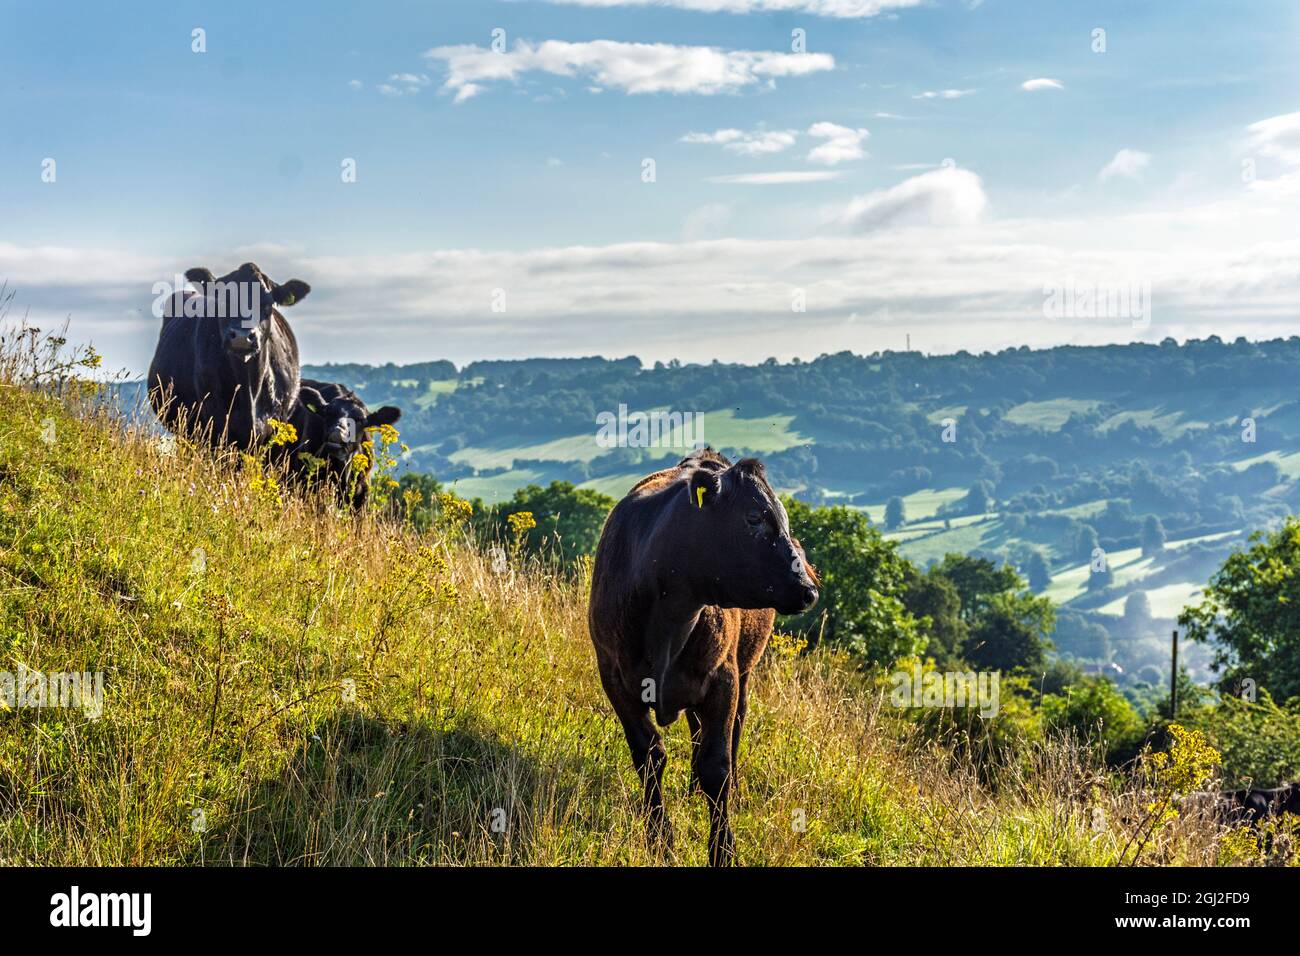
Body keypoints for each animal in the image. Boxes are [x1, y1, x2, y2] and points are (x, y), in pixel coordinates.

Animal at [588, 448, 819, 866]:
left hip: (743, 670)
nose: (809, 588)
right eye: (754, 518)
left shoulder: (722, 681)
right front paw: (659, 840)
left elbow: (717, 767)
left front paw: (723, 849)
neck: (670, 615)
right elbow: (649, 756)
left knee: (735, 726)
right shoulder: (614, 679)